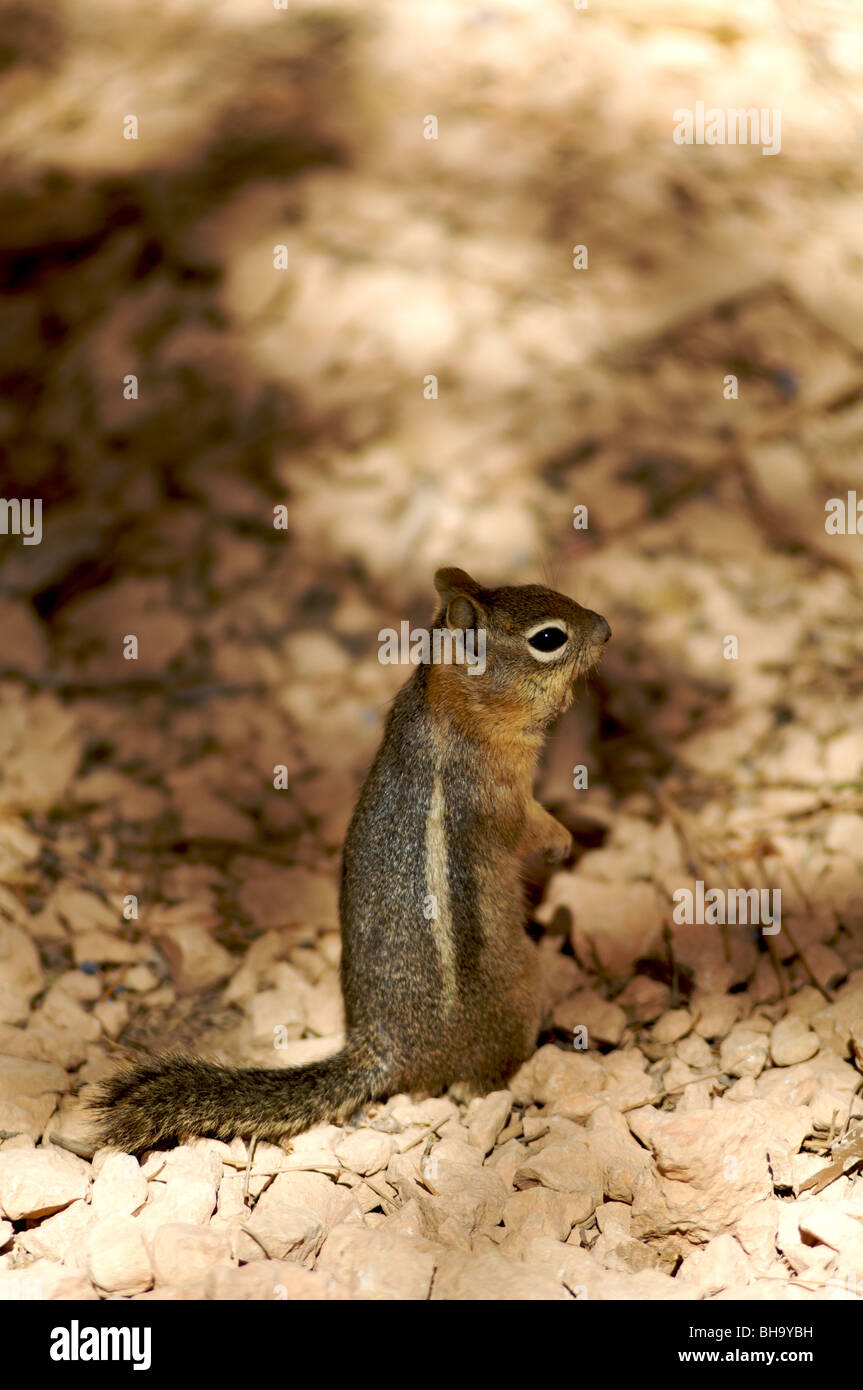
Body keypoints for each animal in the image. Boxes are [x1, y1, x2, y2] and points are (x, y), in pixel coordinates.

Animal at [92, 567, 611, 1153]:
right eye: (549, 638)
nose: (606, 628)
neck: (452, 705)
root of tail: (380, 1049)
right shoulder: (500, 793)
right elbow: (528, 828)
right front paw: (561, 840)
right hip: (520, 989)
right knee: (482, 1079)